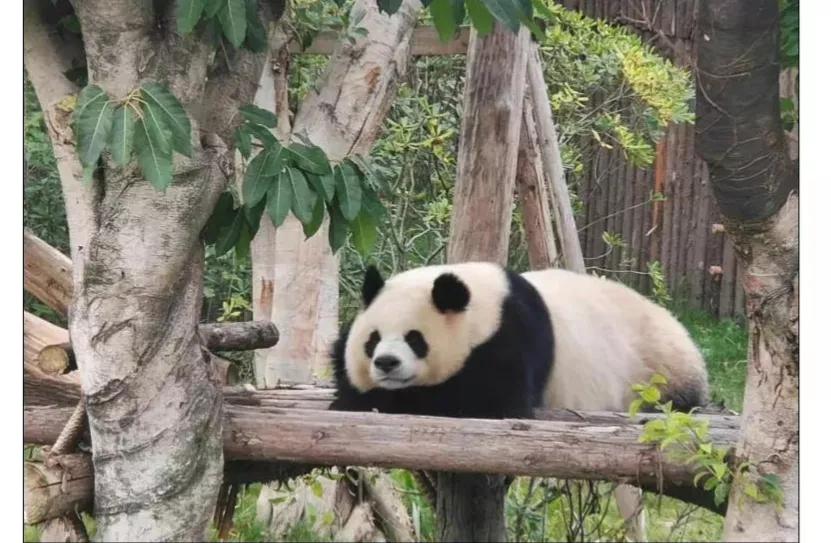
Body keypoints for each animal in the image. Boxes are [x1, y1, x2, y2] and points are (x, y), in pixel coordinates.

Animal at [329, 262, 709, 418]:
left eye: (415, 339)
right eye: (372, 340)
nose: (386, 363)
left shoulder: (508, 339)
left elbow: (482, 399)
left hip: (658, 367)